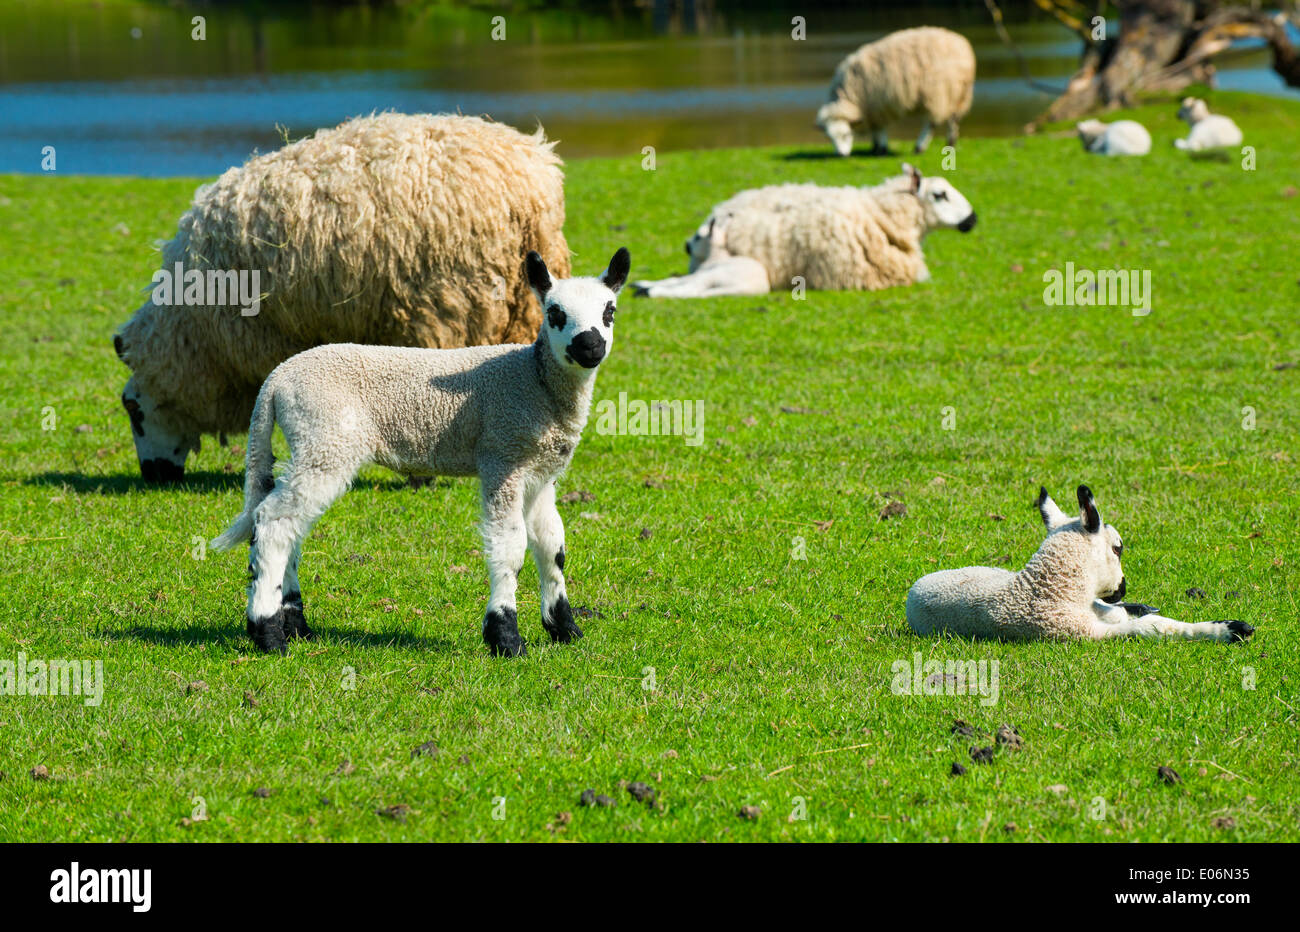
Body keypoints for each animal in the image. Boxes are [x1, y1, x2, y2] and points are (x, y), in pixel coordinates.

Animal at [114, 113, 570, 483]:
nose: (154, 476)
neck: (194, 338)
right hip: (520, 303)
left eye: (133, 409)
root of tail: (529, 182)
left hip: (444, 304)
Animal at [210, 247, 630, 657]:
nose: (590, 346)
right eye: (555, 314)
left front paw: (565, 629)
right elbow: (509, 547)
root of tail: (276, 379)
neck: (534, 380)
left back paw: (297, 626)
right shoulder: (502, 456)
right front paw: (505, 638)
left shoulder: (540, 472)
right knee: (274, 522)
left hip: (313, 443)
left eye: (610, 311)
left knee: (291, 526)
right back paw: (268, 635)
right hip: (324, 437)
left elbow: (552, 546)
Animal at [816, 27, 976, 157]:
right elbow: (875, 129)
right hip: (959, 94)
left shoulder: (877, 105)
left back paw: (919, 147)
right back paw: (951, 143)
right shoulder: (871, 110)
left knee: (930, 123)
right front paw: (875, 148)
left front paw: (881, 149)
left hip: (938, 93)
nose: (841, 155)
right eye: (829, 138)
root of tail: (961, 44)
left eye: (845, 135)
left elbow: (880, 129)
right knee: (953, 121)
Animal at [906, 485, 1255, 643]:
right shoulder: (1084, 632)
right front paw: (1228, 629)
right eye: (1118, 548)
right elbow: (1150, 627)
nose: (1123, 587)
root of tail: (917, 585)